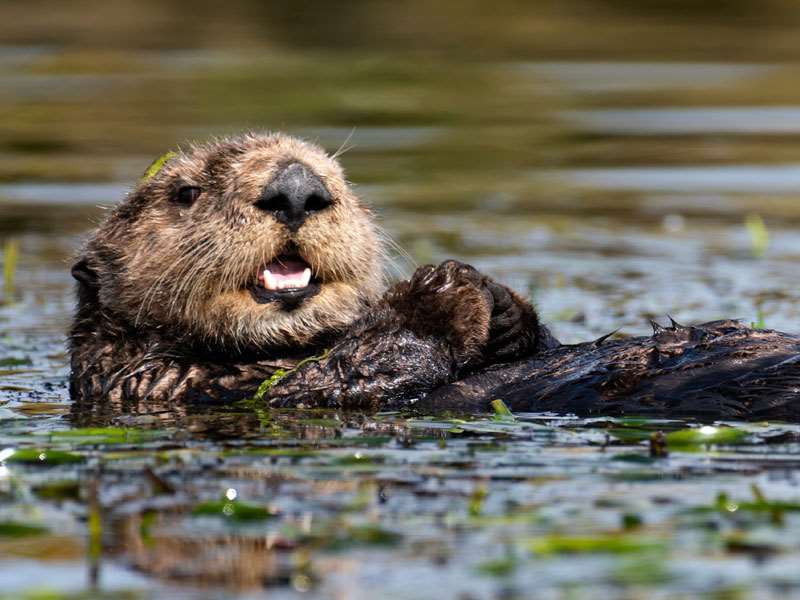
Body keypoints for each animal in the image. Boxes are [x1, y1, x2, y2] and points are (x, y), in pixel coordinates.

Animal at [69, 132, 551, 423]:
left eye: (340, 179)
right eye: (186, 192)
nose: (297, 188)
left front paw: (502, 307)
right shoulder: (167, 384)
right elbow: (329, 379)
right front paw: (440, 294)